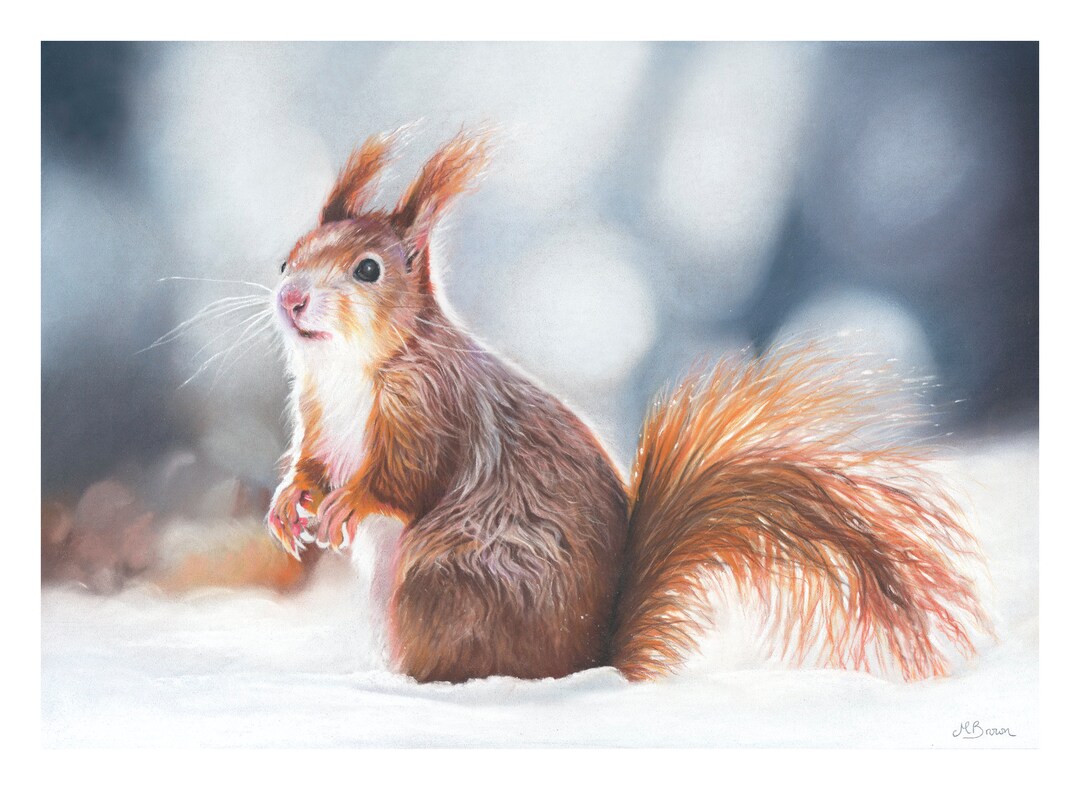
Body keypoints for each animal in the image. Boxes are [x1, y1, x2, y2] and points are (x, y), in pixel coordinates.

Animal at [266, 128, 989, 684]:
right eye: (285, 259)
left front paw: (348, 503)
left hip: (445, 584)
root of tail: (591, 660)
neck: (348, 372)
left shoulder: (435, 406)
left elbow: (409, 477)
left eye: (368, 270)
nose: (291, 299)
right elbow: (313, 463)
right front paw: (291, 500)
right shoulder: (318, 416)